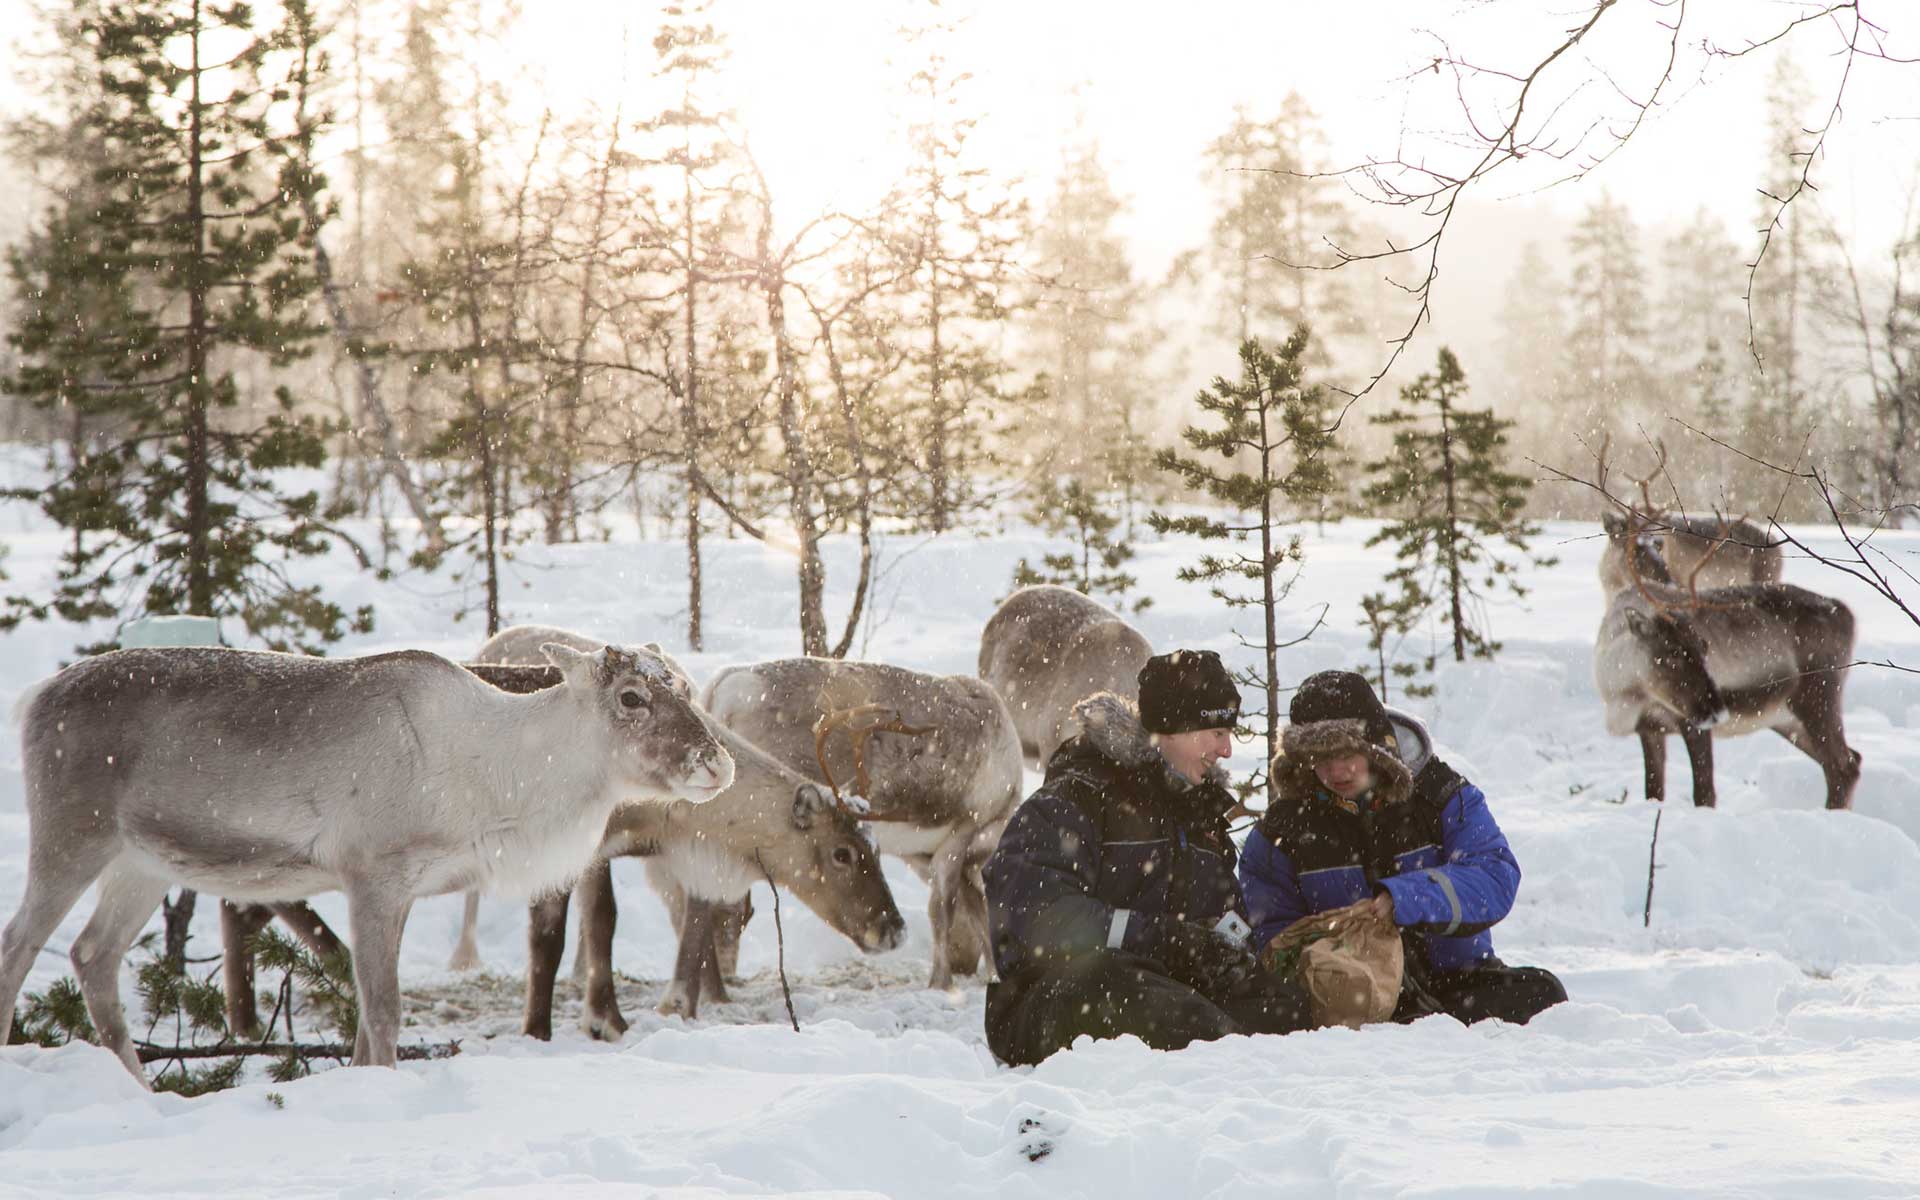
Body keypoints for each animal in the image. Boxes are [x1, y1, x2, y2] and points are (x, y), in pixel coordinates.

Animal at [1, 642, 733, 1084]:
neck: (499, 783)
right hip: (73, 834)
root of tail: (31, 698)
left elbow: (361, 1019)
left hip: (142, 861)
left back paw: (142, 1087)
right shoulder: (373, 873)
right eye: (631, 696)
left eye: (686, 685)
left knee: (92, 953)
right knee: (19, 945)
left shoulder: (407, 888)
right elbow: (384, 1011)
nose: (718, 763)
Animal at [468, 626, 906, 1037]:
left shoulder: (615, 854)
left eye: (876, 849)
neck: (657, 816)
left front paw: (609, 1018)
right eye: (842, 853)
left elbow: (606, 922)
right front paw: (546, 1029)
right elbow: (553, 936)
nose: (894, 930)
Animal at [701, 656, 1025, 990]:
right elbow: (942, 908)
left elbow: (976, 906)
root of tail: (722, 689)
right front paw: (941, 982)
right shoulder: (963, 828)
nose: (964, 966)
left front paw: (993, 974)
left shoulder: (921, 854)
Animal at [1592, 441, 1861, 810]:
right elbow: (1654, 792)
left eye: (1704, 648)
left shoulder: (1691, 725)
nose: (1717, 710)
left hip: (1819, 696)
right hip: (1785, 717)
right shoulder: (1650, 728)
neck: (1625, 689)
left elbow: (1705, 794)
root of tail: (1845, 612)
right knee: (1845, 762)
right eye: (1669, 655)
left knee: (1843, 763)